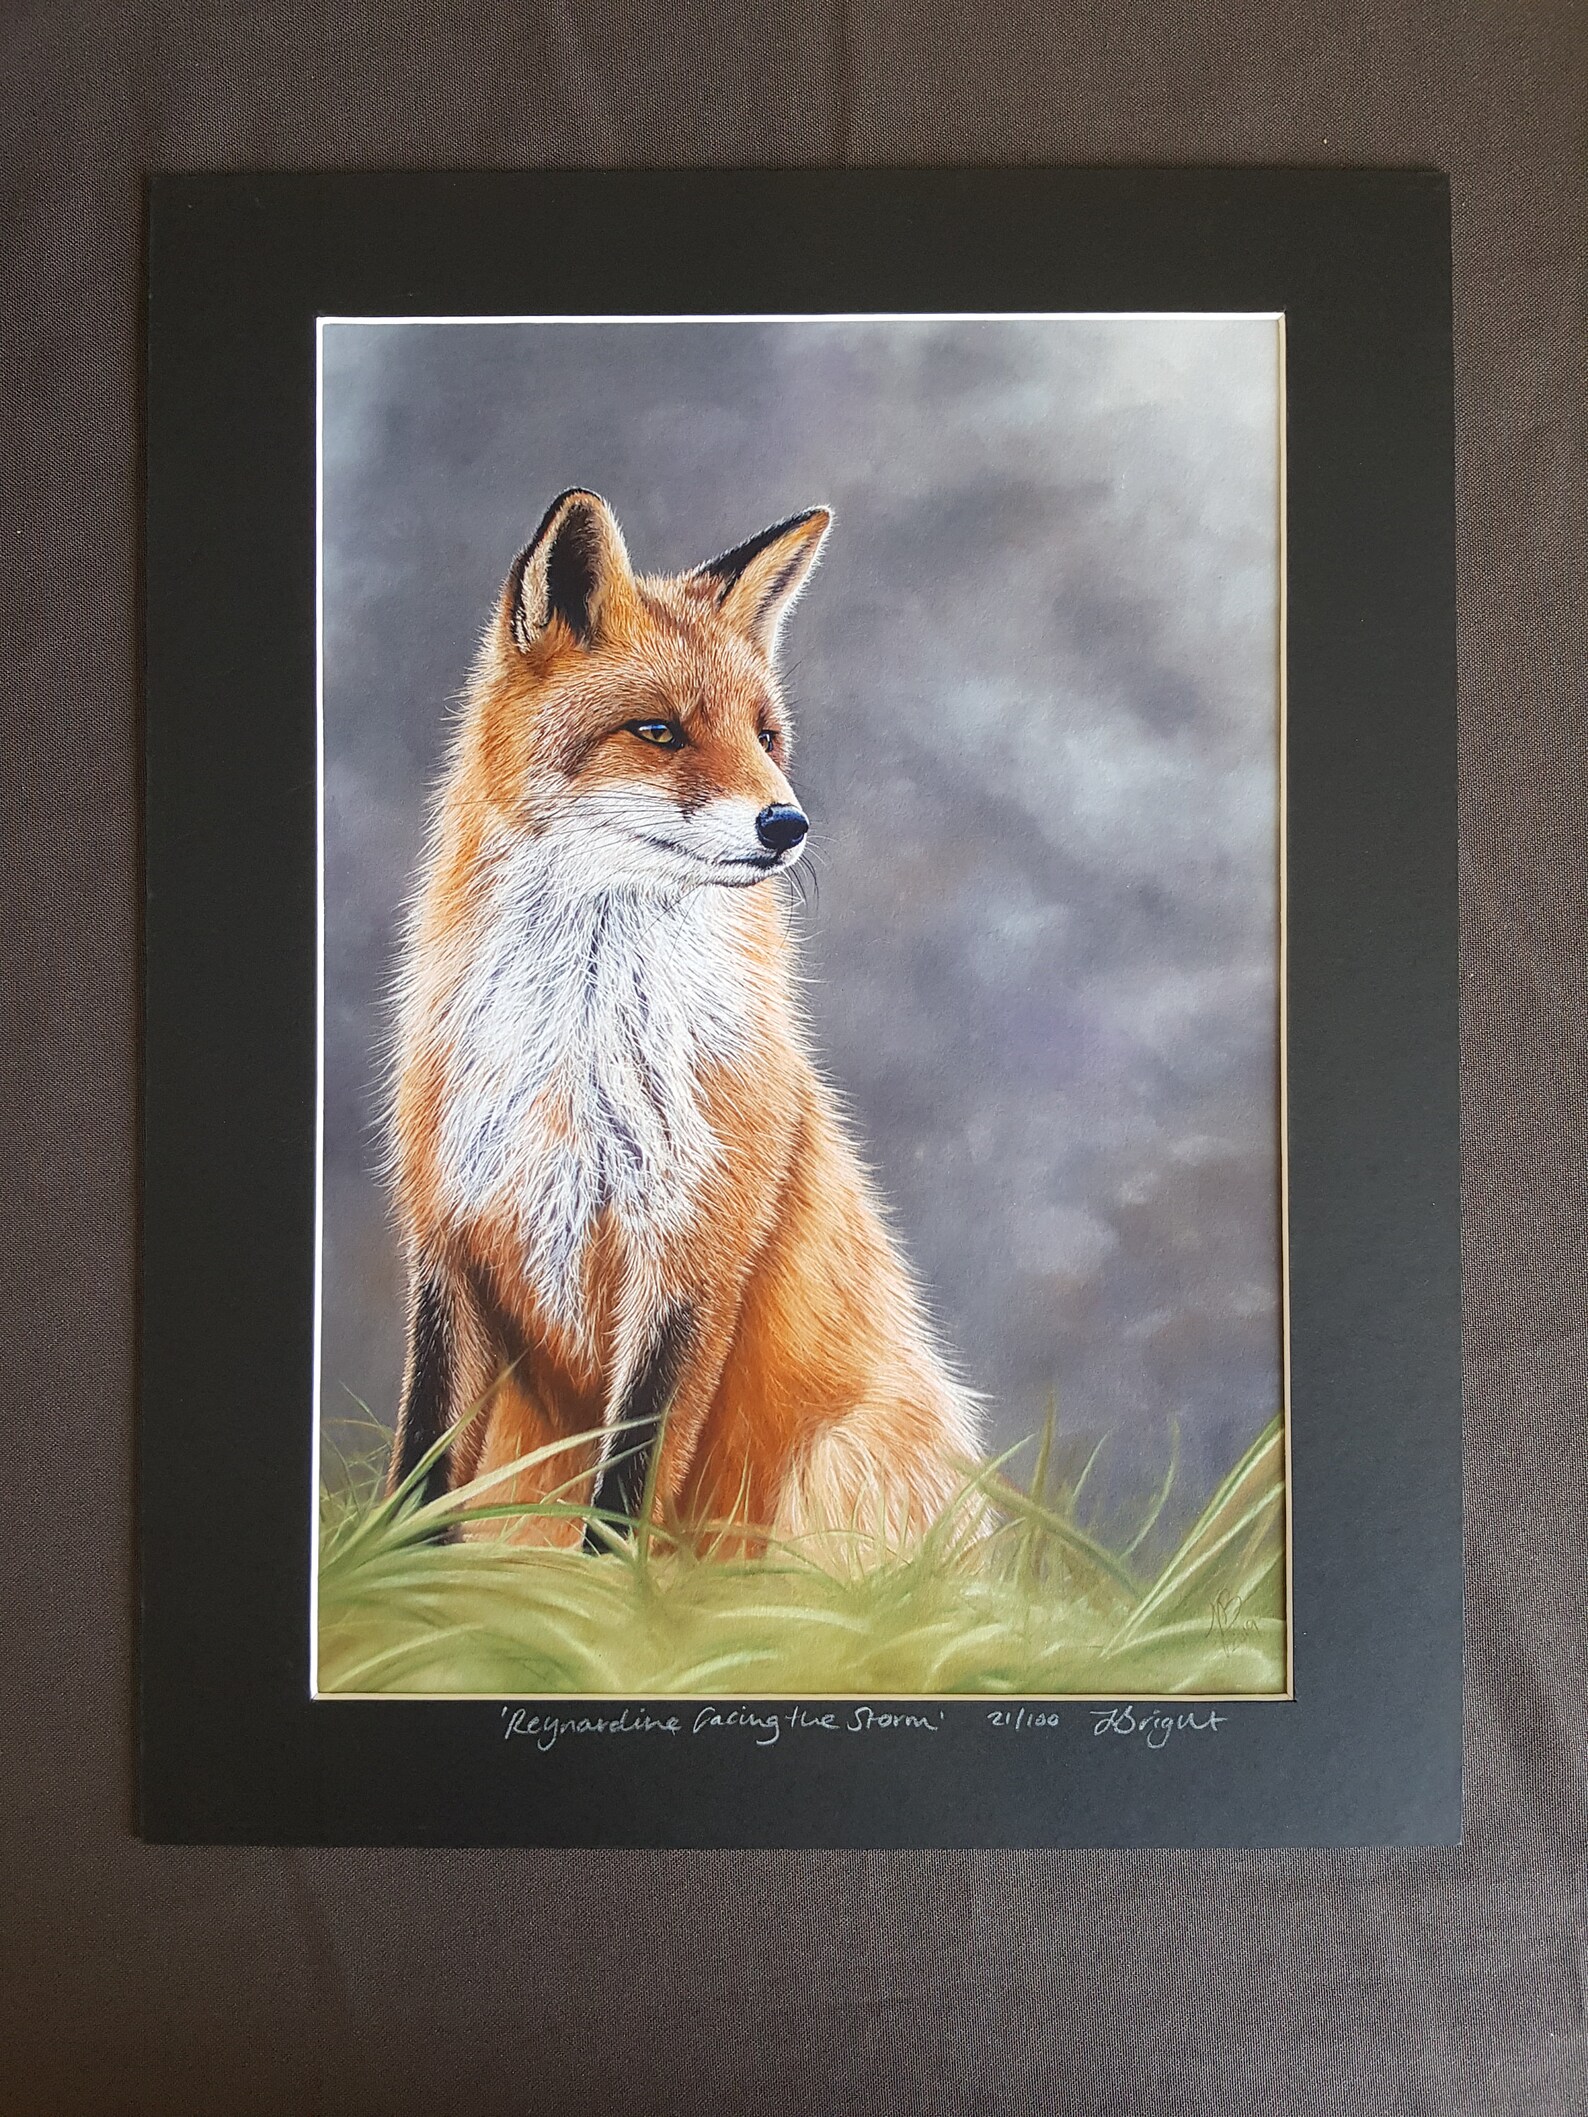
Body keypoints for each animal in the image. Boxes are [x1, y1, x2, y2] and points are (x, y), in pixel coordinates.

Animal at [383, 487, 980, 1560]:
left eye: (766, 736)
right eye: (658, 731)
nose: (788, 824)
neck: (577, 1062)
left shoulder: (693, 1252)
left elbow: (628, 1486)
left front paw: (597, 1606)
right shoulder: (450, 1241)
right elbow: (420, 1465)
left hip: (840, 1469)